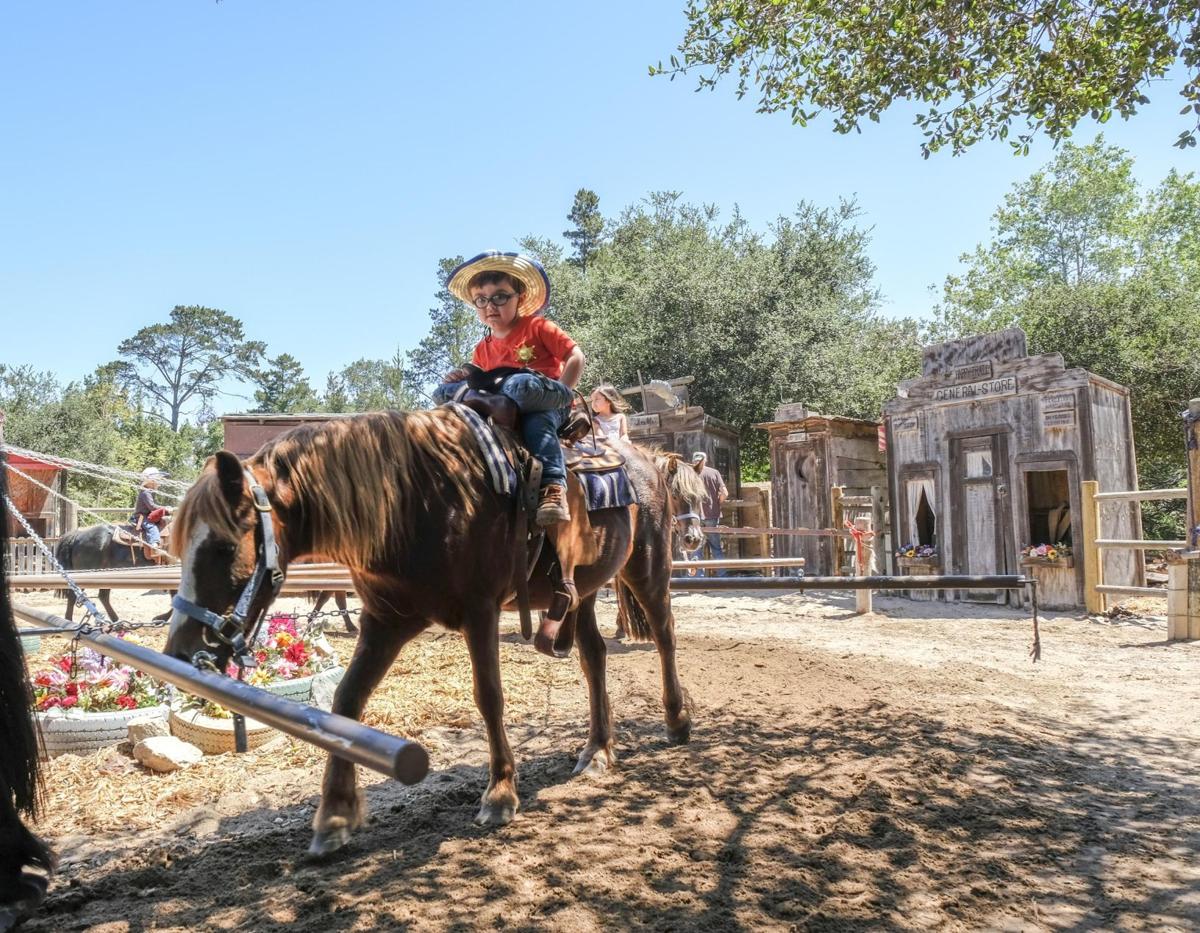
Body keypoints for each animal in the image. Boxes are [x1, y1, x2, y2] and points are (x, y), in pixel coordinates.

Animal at [163, 408, 694, 856]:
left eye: (223, 548)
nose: (179, 653)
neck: (416, 504)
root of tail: (647, 459)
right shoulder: (385, 621)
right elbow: (346, 702)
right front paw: (335, 815)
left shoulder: (480, 613)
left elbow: (489, 696)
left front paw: (500, 792)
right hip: (580, 591)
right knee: (593, 656)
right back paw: (598, 750)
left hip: (647, 567)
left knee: (665, 635)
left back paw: (676, 721)